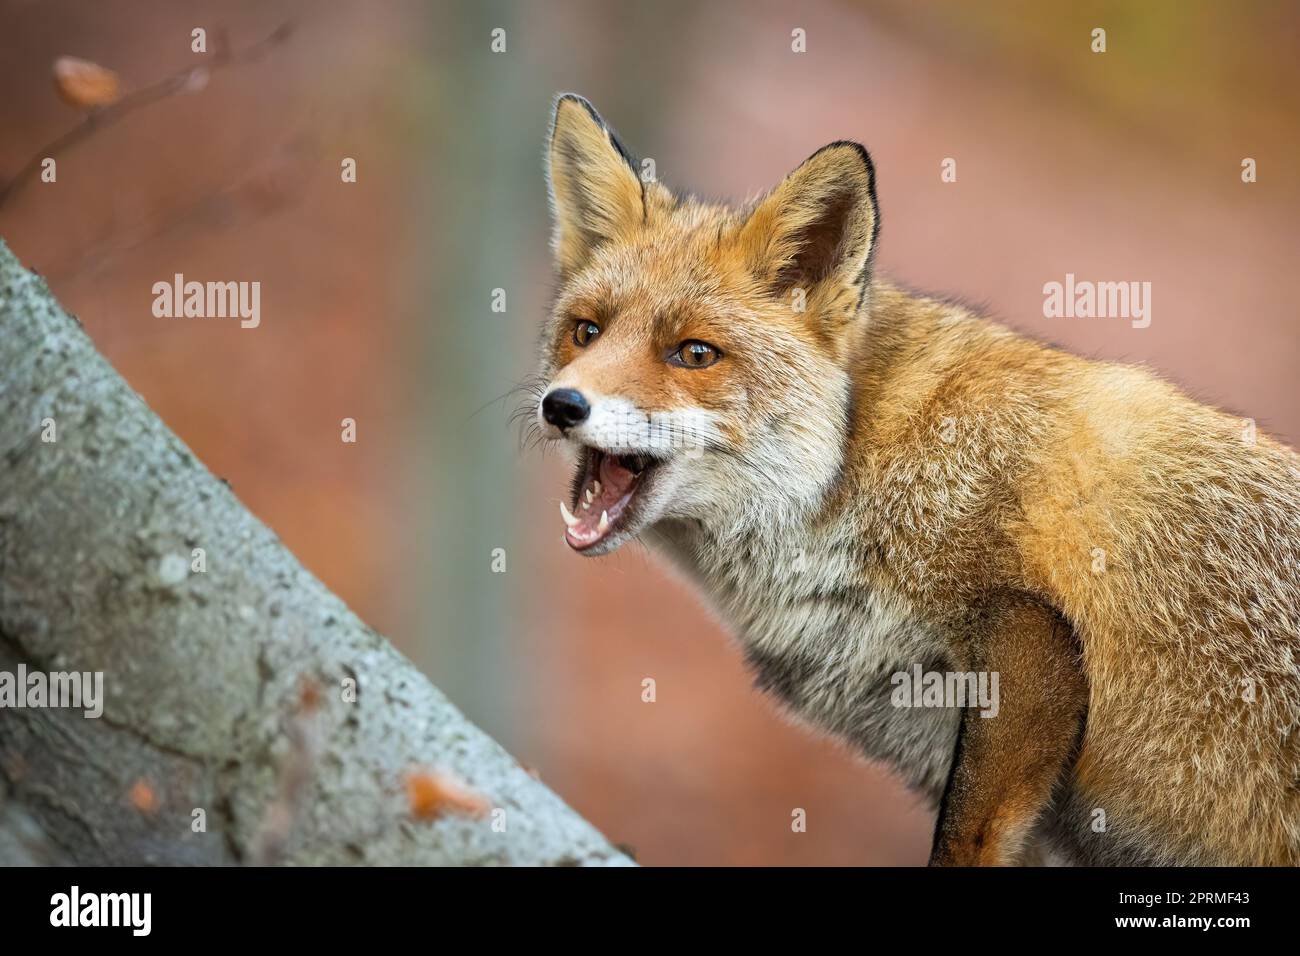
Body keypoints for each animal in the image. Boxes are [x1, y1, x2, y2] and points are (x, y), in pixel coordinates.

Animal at [529, 93, 1300, 866]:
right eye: (586, 332)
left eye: (693, 353)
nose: (562, 405)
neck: (857, 468)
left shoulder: (1031, 645)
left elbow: (961, 843)